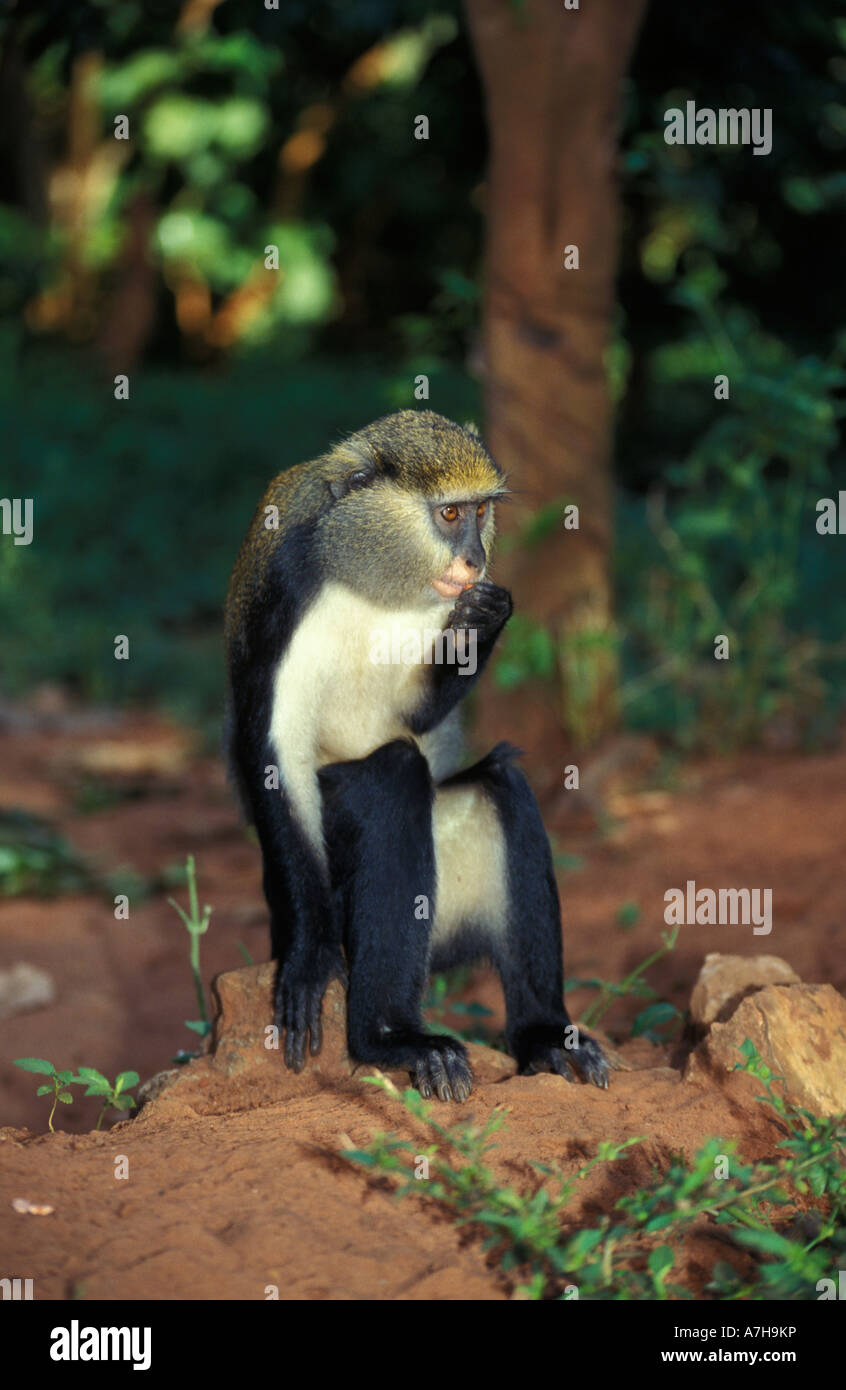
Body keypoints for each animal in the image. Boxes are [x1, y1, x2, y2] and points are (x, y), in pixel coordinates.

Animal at [224, 409, 608, 1102]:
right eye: (449, 515)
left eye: (481, 511)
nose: (474, 560)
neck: (372, 581)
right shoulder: (287, 593)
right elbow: (278, 759)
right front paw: (311, 958)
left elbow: (414, 716)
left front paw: (485, 619)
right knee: (391, 776)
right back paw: (391, 1038)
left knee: (501, 784)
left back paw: (544, 1036)